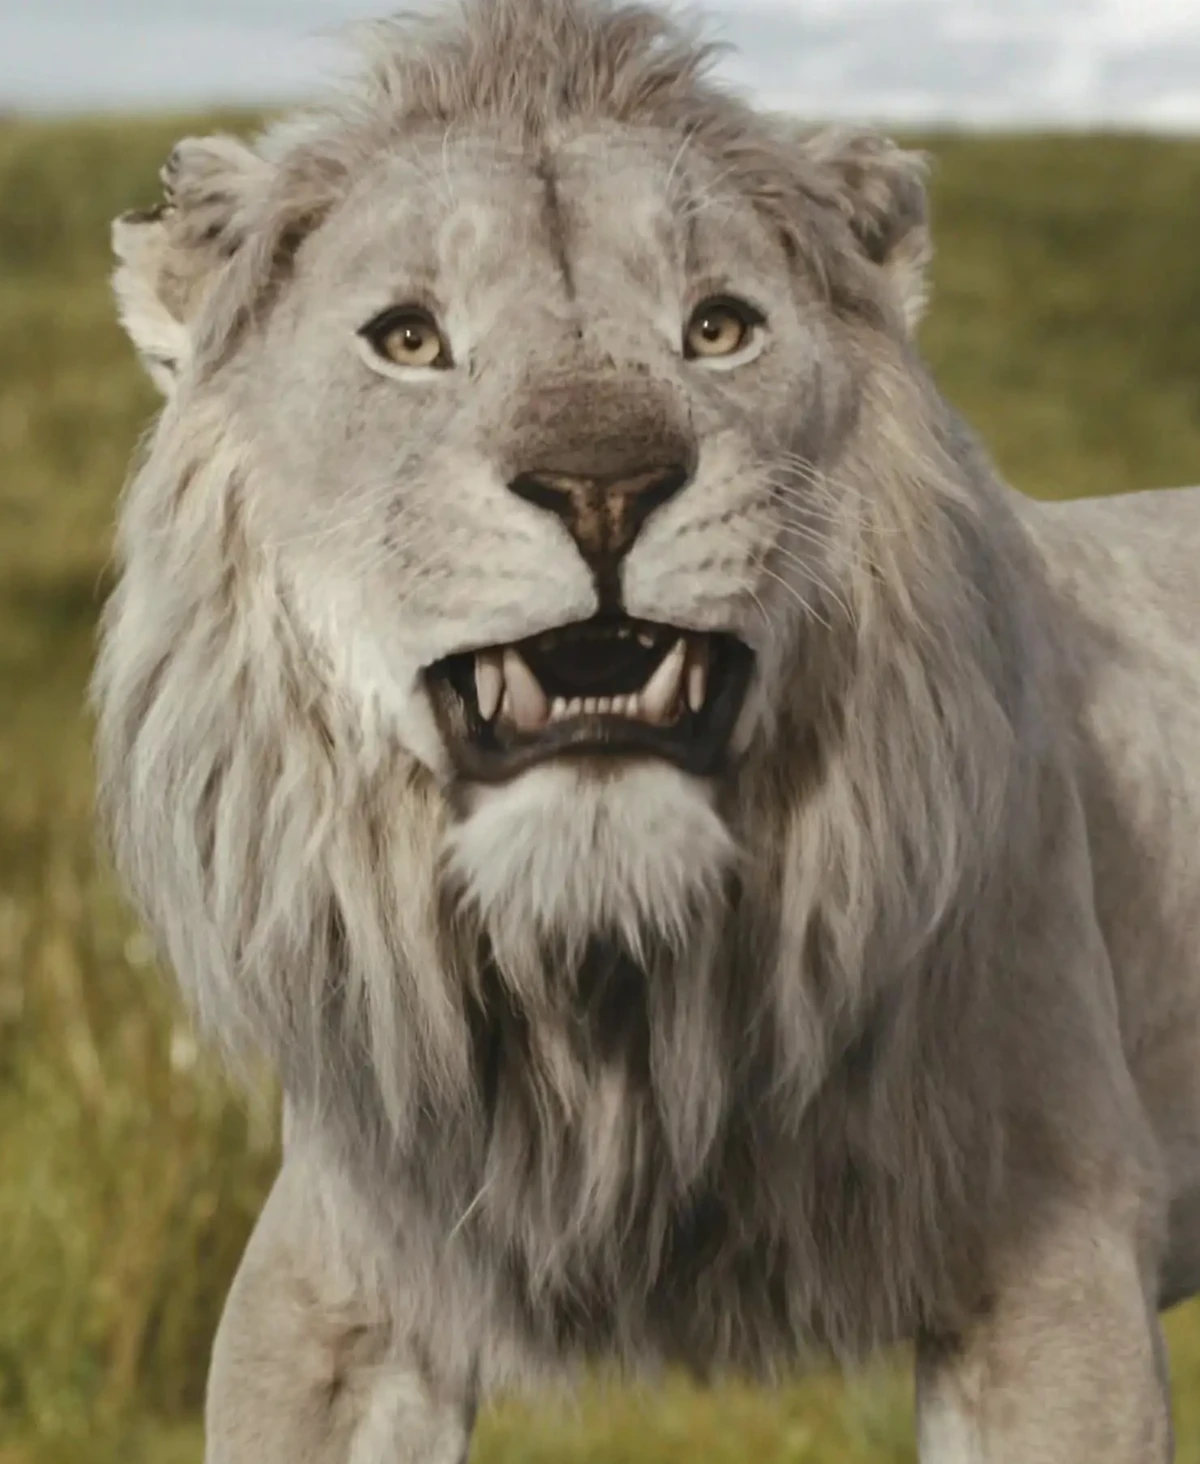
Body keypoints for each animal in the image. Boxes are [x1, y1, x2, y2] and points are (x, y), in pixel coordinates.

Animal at [93, 1, 1200, 1459]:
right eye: (409, 340)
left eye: (718, 329)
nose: (602, 485)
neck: (614, 1003)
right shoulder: (327, 1292)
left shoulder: (1055, 1270)